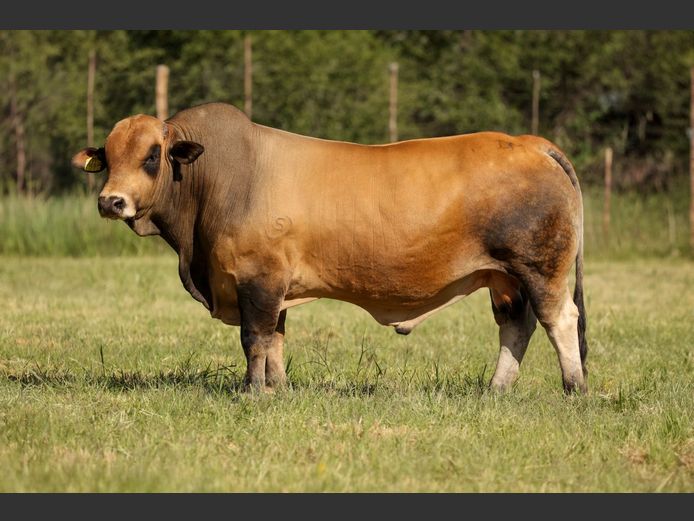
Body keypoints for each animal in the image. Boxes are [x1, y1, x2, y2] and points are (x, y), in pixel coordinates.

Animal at [72, 102, 588, 394]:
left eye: (152, 156)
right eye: (108, 157)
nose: (111, 201)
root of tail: (529, 142)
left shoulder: (258, 280)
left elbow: (254, 339)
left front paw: (251, 391)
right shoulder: (275, 288)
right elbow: (275, 340)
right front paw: (278, 389)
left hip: (540, 269)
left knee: (560, 320)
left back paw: (574, 388)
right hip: (505, 278)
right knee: (516, 326)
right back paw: (496, 390)